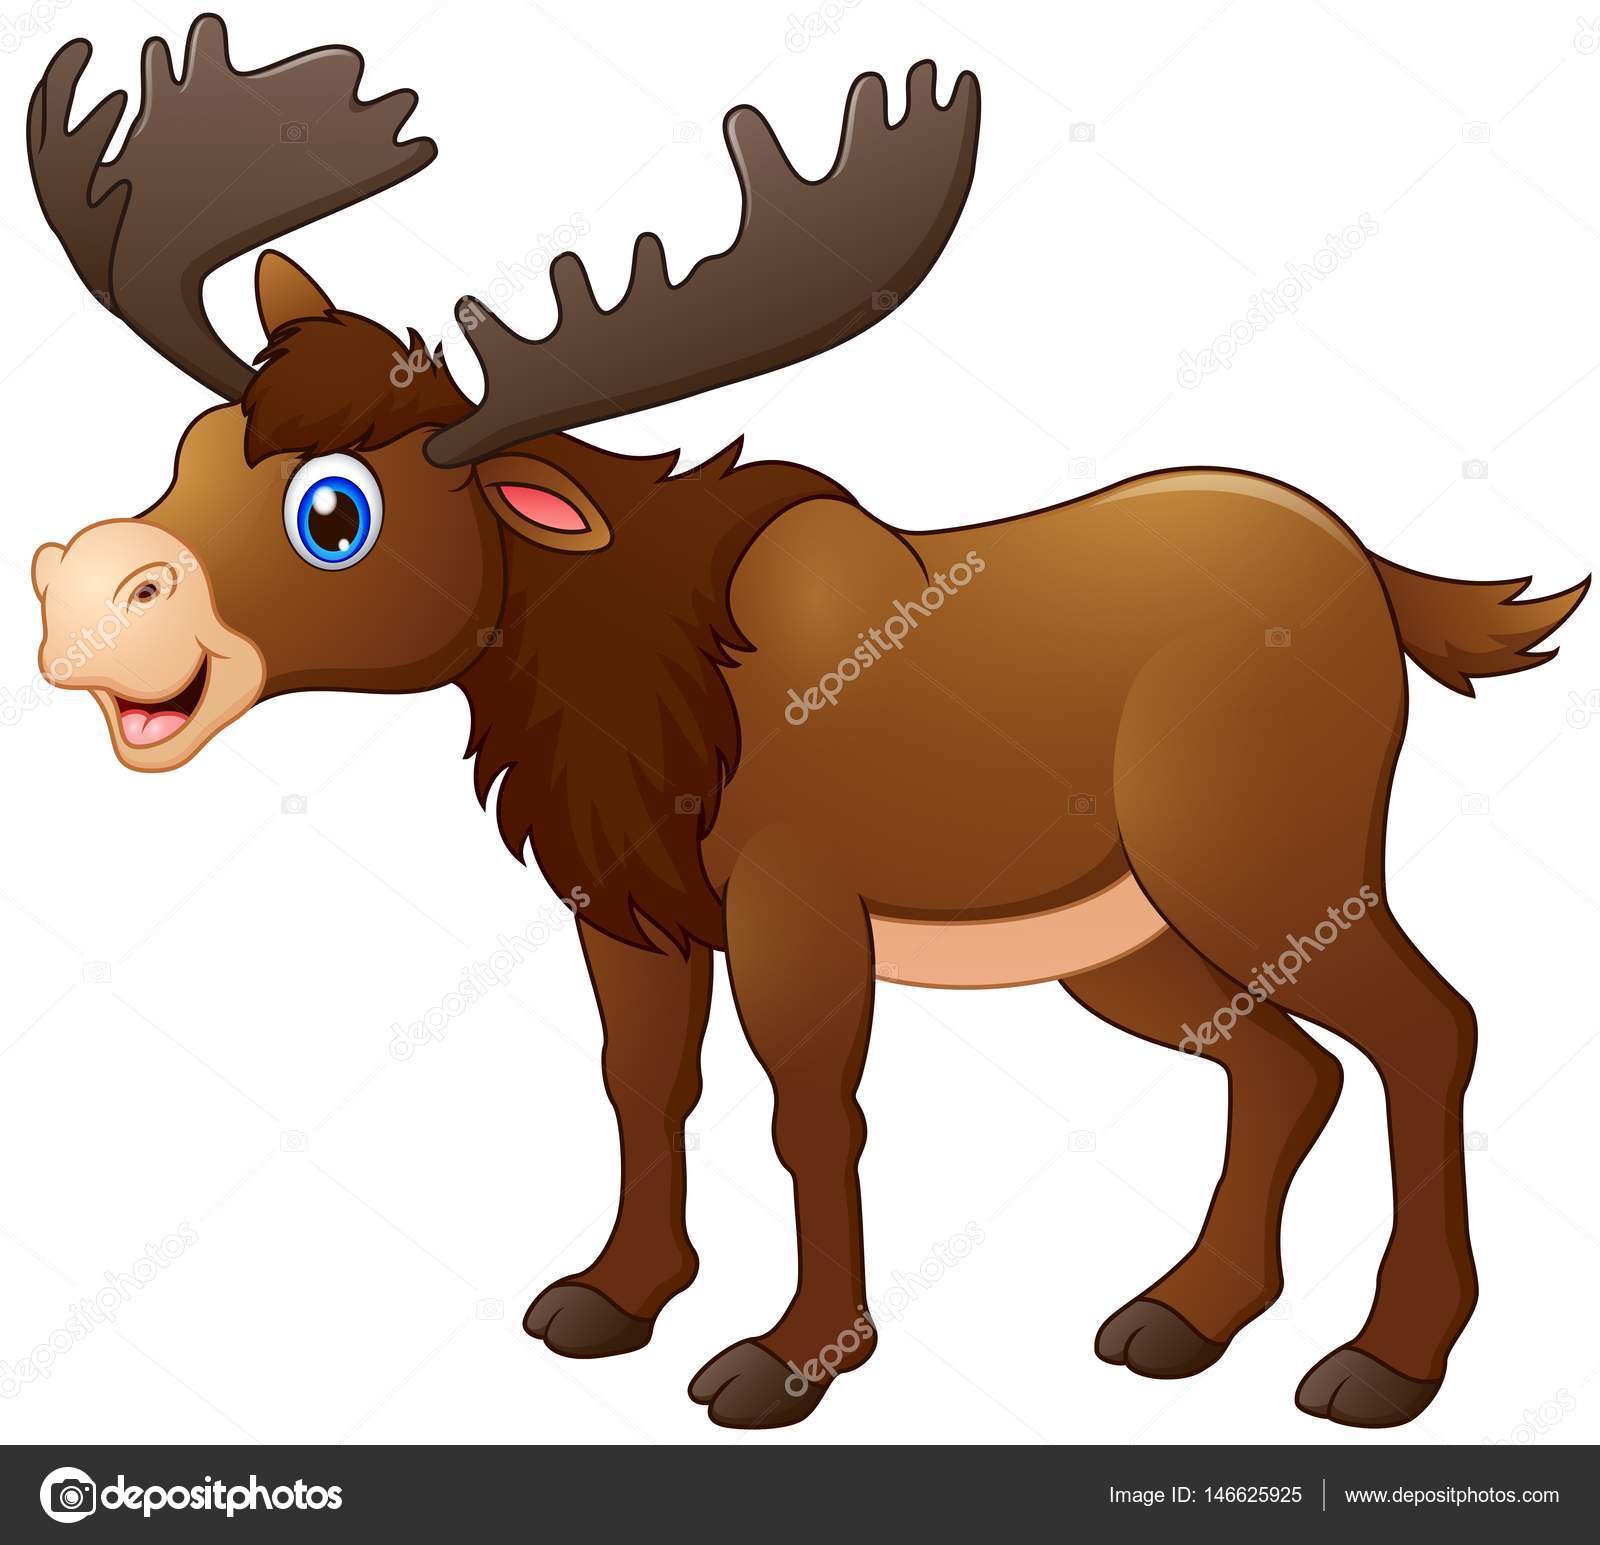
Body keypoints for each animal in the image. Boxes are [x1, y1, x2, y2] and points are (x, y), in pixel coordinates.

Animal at [26, 14, 1587, 1431]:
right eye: (191, 450)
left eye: (334, 513)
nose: (88, 587)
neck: (639, 695)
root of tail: (1380, 579)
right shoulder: (628, 908)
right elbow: (642, 1082)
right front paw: (615, 1295)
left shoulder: (797, 901)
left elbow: (809, 1111)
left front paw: (790, 1359)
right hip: (1127, 934)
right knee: (1285, 1064)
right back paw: (1182, 1316)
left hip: (1263, 857)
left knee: (1429, 1029)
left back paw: (1388, 1361)